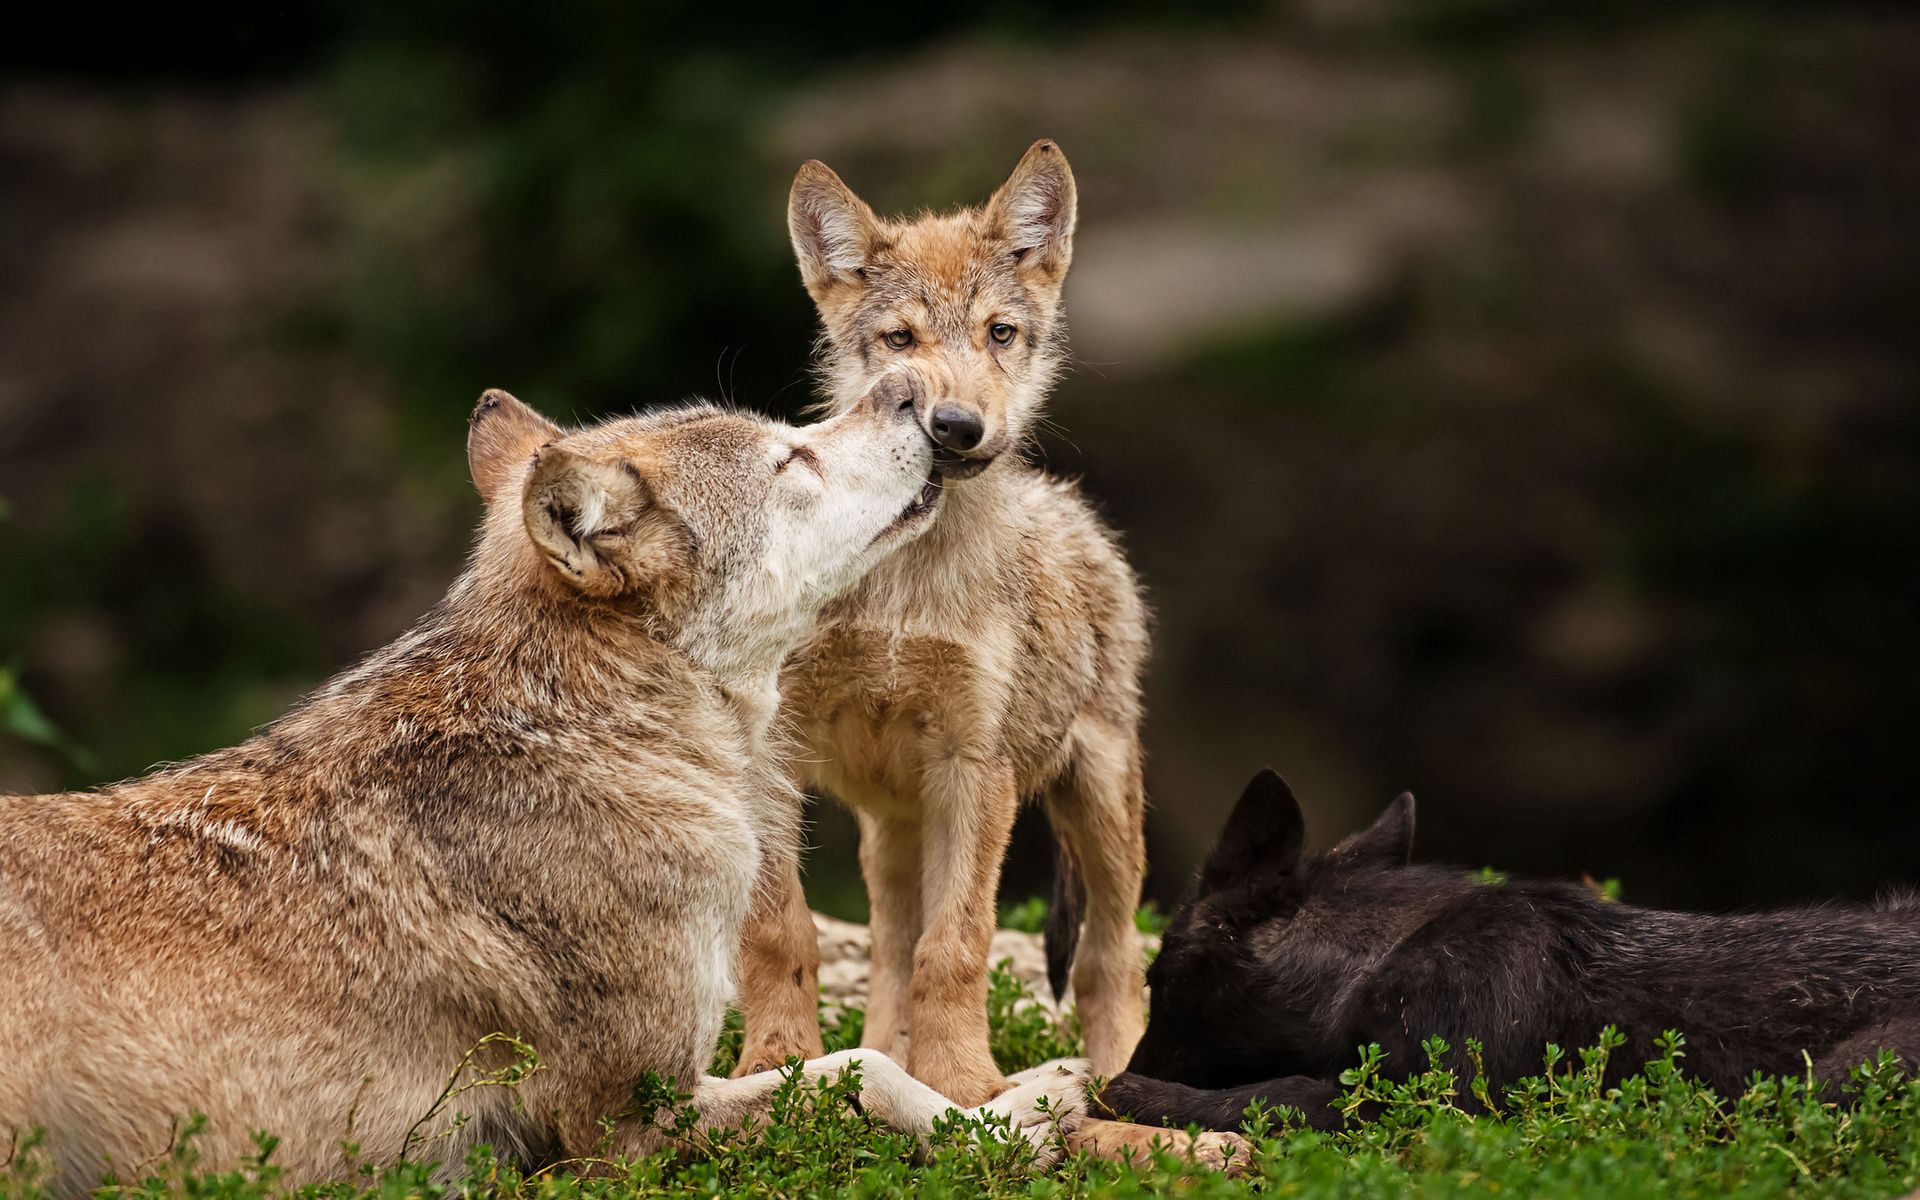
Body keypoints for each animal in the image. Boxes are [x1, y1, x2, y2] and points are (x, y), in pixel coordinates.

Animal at [0, 378, 1089, 1193]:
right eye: (793, 458)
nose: (910, 392)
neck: (594, 740)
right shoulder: (622, 1124)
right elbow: (861, 1073)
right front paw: (1021, 1122)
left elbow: (870, 1061)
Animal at [731, 140, 1151, 1108]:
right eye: (902, 341)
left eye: (999, 334)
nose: (954, 425)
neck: (901, 582)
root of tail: (1074, 513)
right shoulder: (773, 757)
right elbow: (784, 932)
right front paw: (773, 1062)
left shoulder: (975, 765)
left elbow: (956, 947)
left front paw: (963, 1083)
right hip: (894, 827)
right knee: (889, 950)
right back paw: (878, 1063)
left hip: (1101, 805)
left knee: (1111, 963)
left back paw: (1117, 1082)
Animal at [1100, 769, 1920, 1132]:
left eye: (1158, 977)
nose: (1133, 1057)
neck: (1353, 983)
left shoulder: (1435, 1092)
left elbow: (1264, 1097)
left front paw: (1130, 1092)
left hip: (1840, 1078)